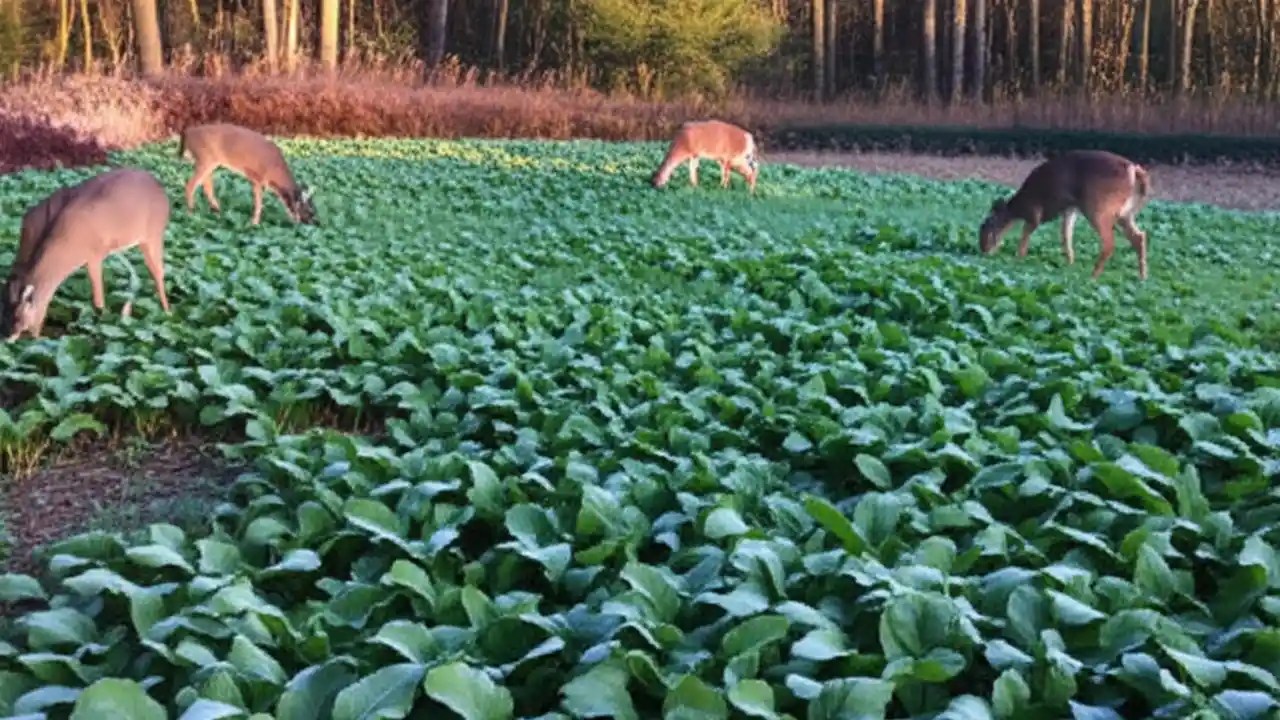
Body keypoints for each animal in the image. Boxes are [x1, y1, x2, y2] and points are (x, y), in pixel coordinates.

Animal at [1, 167, 172, 341]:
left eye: (18, 317)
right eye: (2, 313)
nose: (8, 338)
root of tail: (160, 189)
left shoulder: (94, 256)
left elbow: (98, 300)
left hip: (153, 235)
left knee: (158, 273)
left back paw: (167, 312)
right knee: (136, 277)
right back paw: (126, 316)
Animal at [178, 122, 317, 227]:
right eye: (310, 211)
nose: (314, 223)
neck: (275, 172)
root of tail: (187, 132)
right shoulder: (257, 177)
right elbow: (259, 202)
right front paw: (254, 223)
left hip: (209, 162)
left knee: (206, 185)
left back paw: (217, 211)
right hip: (205, 159)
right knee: (191, 185)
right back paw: (191, 212)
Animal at [978, 149, 1153, 281]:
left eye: (987, 226)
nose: (983, 250)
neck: (1018, 206)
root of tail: (1134, 170)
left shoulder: (1035, 212)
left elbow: (1026, 233)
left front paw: (1018, 258)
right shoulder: (1069, 208)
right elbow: (1065, 235)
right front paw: (1069, 264)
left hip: (1098, 206)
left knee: (1110, 242)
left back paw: (1093, 276)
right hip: (1125, 212)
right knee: (1139, 237)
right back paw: (1142, 277)